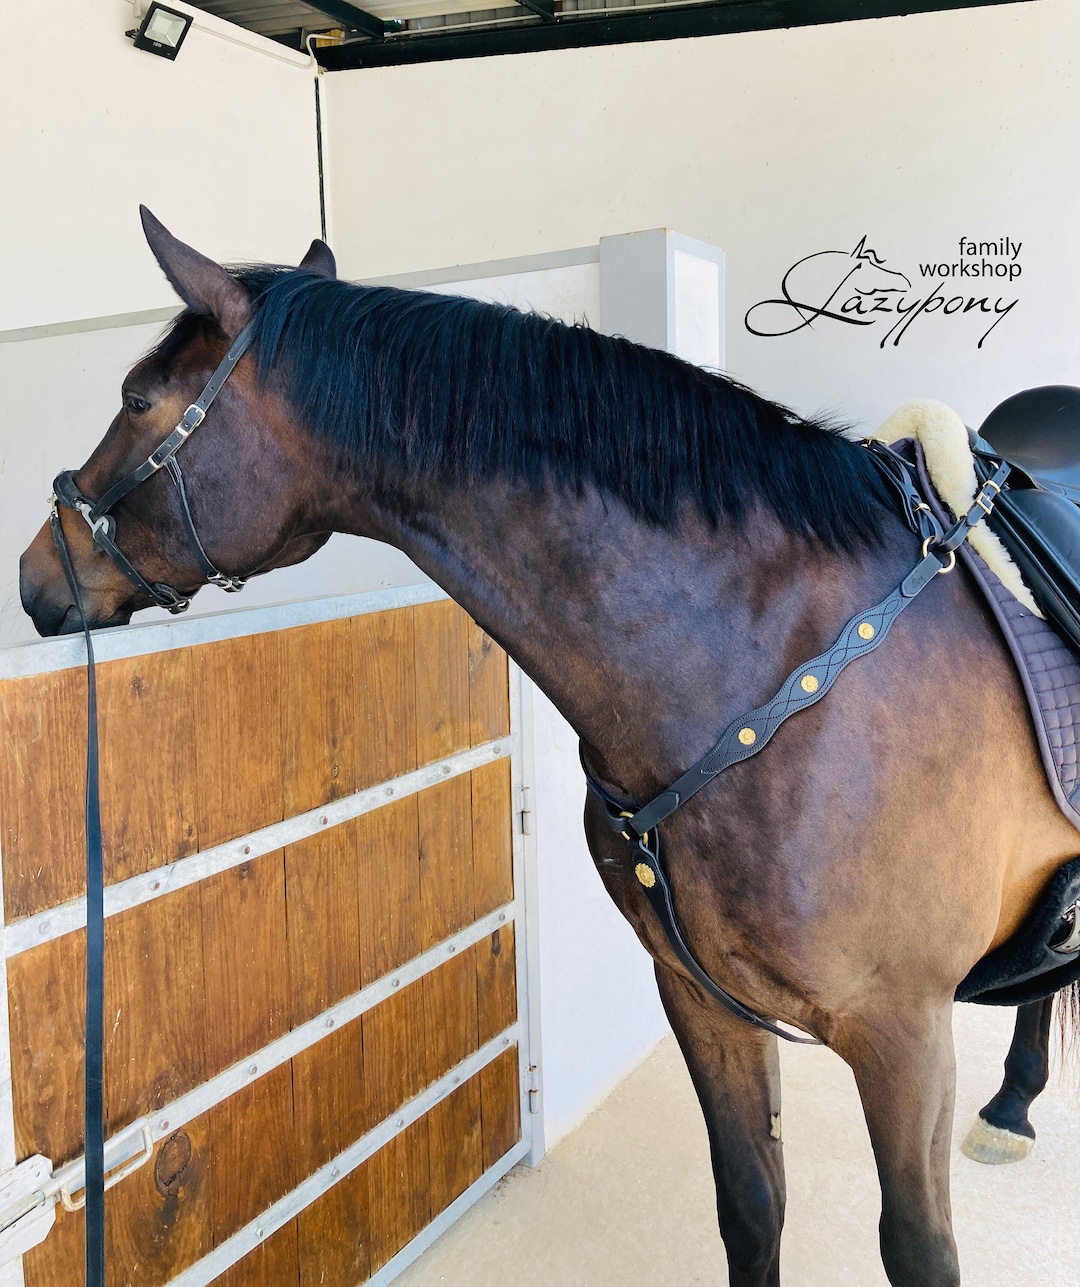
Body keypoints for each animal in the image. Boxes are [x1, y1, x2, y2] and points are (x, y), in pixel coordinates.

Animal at [19, 210, 1078, 1287]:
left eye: (138, 399)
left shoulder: (904, 1034)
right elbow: (752, 1207)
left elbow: (918, 1250)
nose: (34, 575)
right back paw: (1012, 1105)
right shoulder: (704, 1002)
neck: (766, 670)